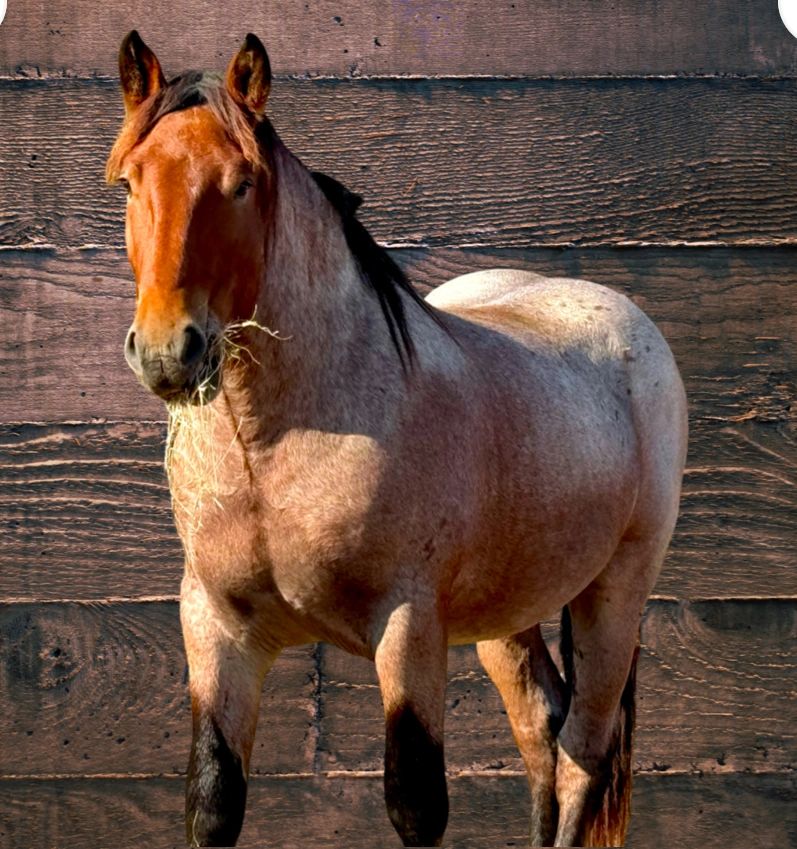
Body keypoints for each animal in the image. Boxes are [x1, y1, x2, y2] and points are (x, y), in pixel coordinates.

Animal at [106, 31, 688, 848]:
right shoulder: (215, 628)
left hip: (616, 592)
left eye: (242, 184)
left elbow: (415, 803)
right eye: (129, 183)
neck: (274, 451)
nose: (167, 351)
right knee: (541, 731)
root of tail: (624, 316)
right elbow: (214, 801)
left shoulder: (406, 630)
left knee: (582, 753)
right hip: (506, 614)